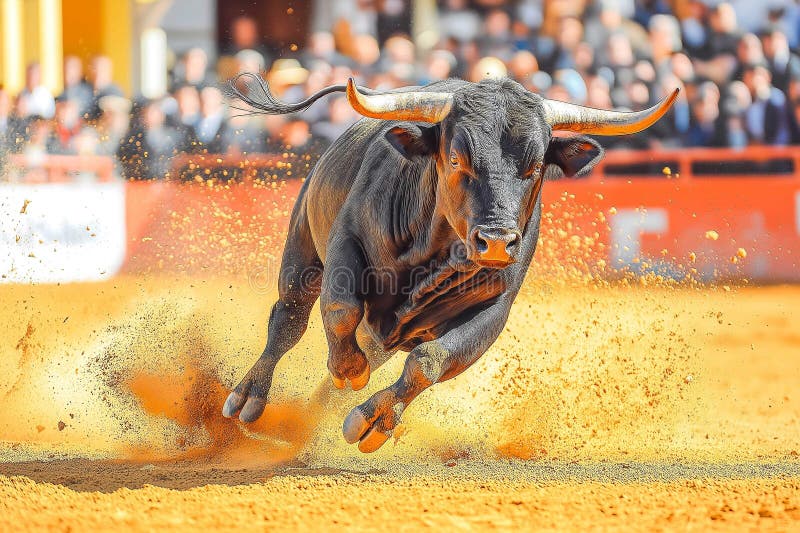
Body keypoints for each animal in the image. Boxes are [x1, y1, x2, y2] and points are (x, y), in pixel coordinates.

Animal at [222, 73, 678, 453]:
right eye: (457, 159)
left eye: (534, 168)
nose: (496, 242)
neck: (435, 253)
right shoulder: (346, 243)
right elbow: (340, 309)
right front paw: (347, 368)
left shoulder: (494, 309)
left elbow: (431, 361)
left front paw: (374, 421)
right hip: (302, 246)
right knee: (289, 318)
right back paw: (247, 398)